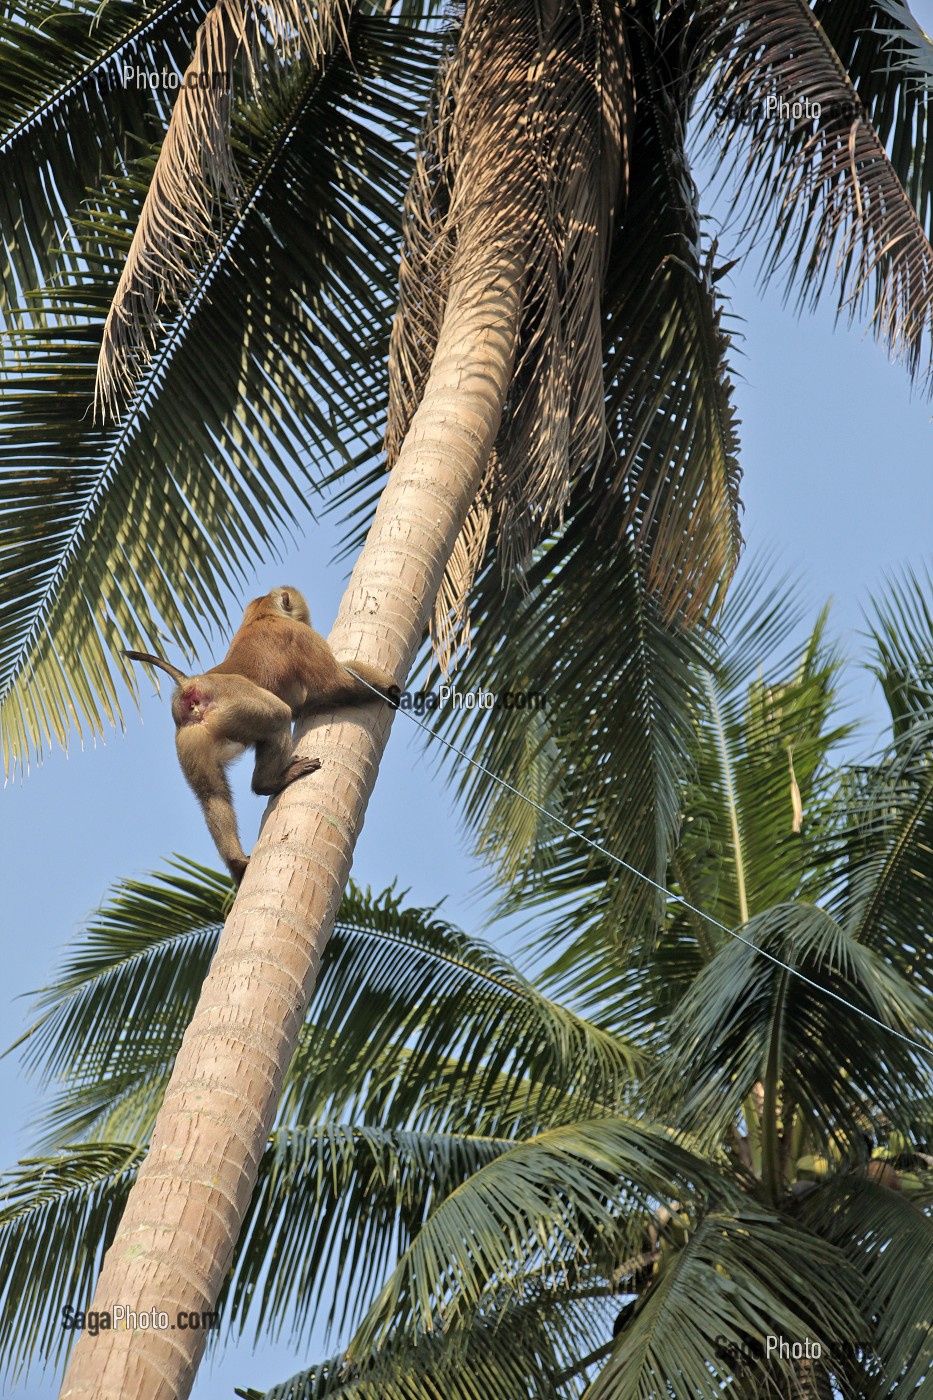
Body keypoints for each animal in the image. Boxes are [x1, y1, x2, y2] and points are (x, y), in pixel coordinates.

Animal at [124, 587, 397, 885]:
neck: (261, 615)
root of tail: (193, 687)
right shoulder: (298, 634)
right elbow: (334, 683)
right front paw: (390, 688)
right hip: (237, 700)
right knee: (278, 715)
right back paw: (267, 783)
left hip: (189, 737)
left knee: (211, 796)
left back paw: (235, 860)